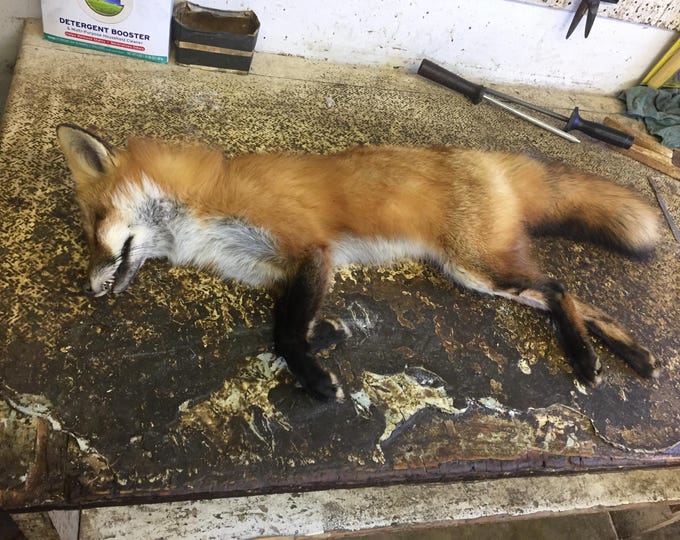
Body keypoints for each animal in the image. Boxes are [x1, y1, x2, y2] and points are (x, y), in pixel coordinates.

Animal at [55, 123, 661, 401]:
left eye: (94, 223)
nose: (85, 288)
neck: (206, 200)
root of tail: (486, 157)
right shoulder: (283, 271)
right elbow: (298, 323)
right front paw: (331, 337)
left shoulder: (309, 249)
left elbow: (284, 333)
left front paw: (318, 381)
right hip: (480, 274)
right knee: (581, 301)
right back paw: (634, 354)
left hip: (477, 267)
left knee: (560, 289)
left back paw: (584, 358)